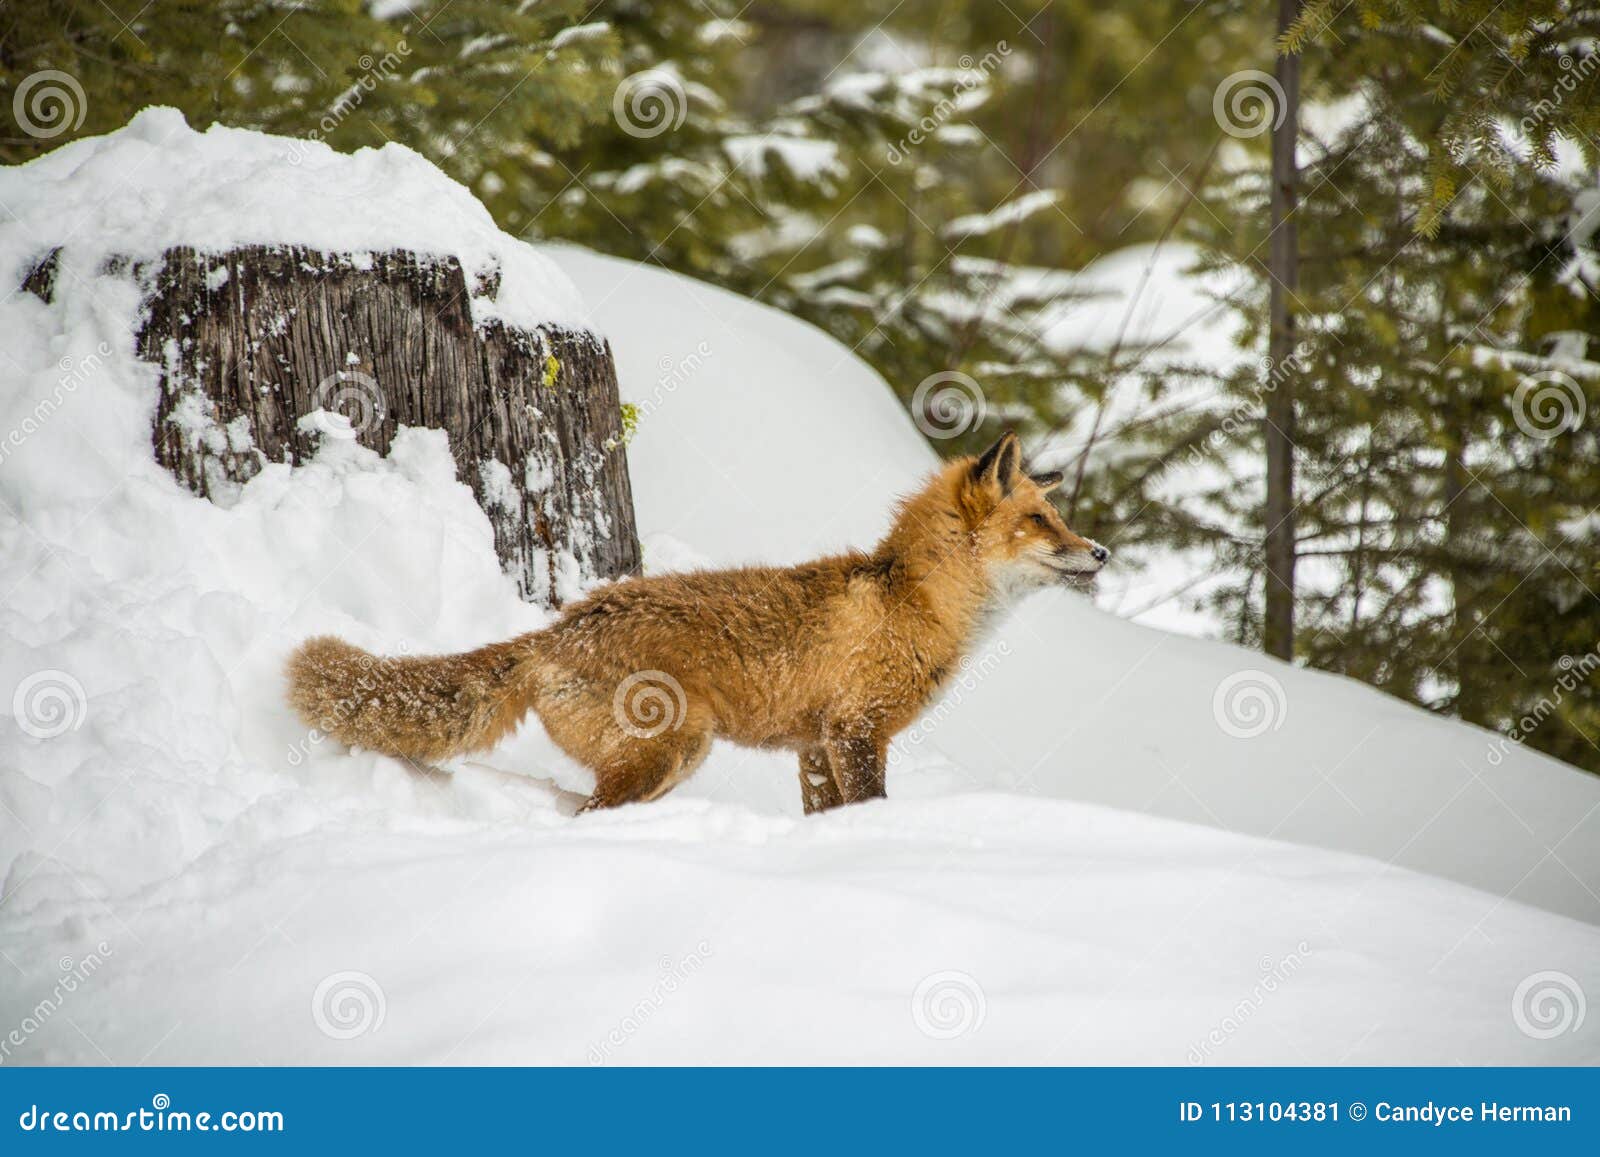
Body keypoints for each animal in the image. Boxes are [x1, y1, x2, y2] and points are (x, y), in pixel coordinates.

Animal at [284, 431, 1108, 814]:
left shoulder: (814, 745)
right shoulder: (857, 730)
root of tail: (559, 627)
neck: (913, 602)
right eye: (1042, 522)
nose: (1101, 552)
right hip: (674, 746)